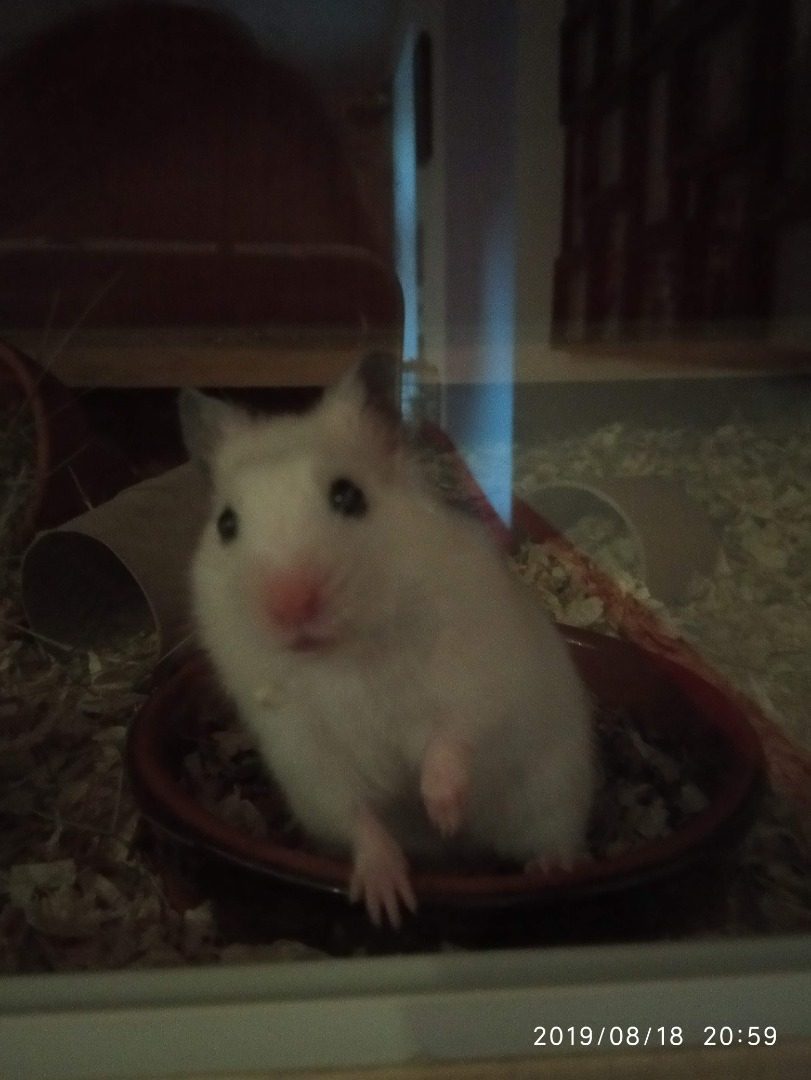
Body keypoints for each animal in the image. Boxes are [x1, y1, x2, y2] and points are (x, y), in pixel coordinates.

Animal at [180, 355, 594, 927]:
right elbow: (355, 814)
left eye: (348, 496)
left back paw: (548, 869)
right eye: (225, 524)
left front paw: (443, 813)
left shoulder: (475, 681)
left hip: (556, 786)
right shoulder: (305, 752)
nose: (289, 607)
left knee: (558, 835)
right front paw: (389, 905)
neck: (345, 655)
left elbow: (451, 740)